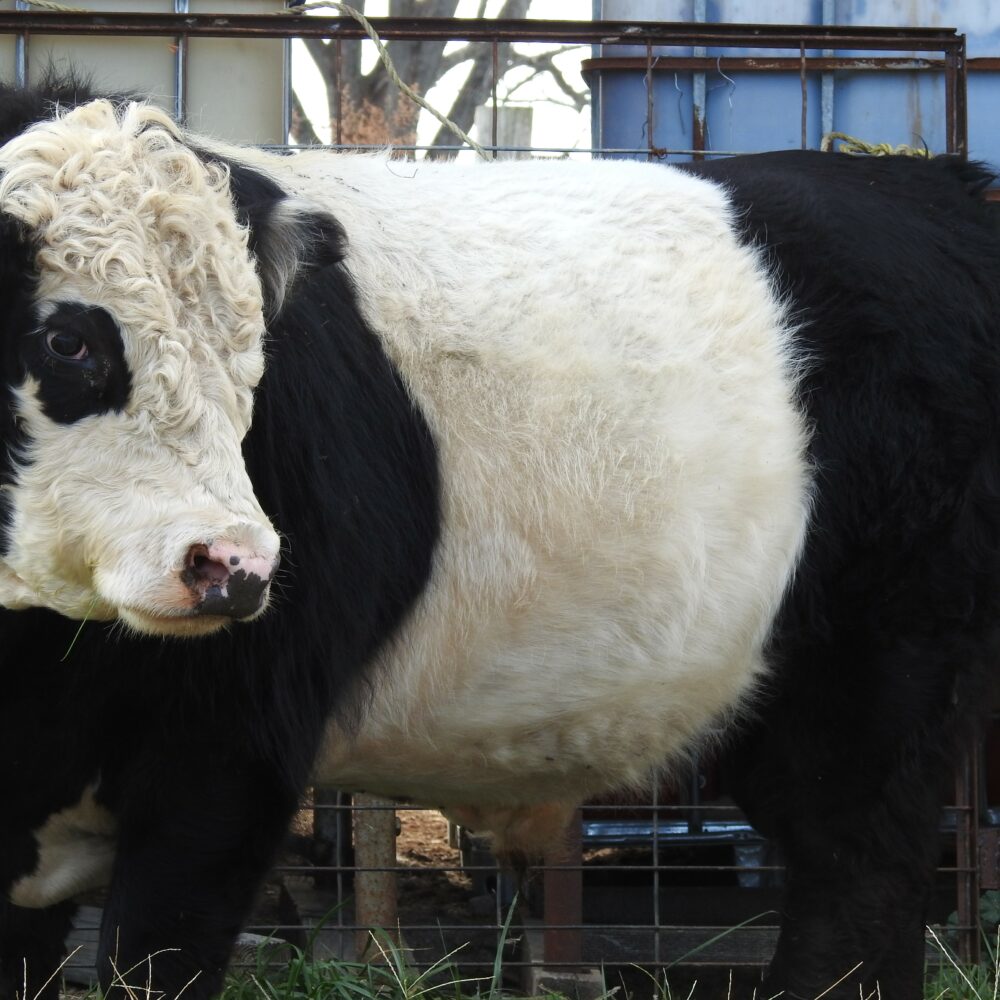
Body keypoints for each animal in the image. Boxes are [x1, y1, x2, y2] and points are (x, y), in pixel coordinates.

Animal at [1, 77, 999, 1000]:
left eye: (250, 351)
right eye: (68, 341)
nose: (234, 566)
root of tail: (931, 185)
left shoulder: (228, 751)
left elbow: (154, 952)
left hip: (884, 669)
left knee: (855, 877)